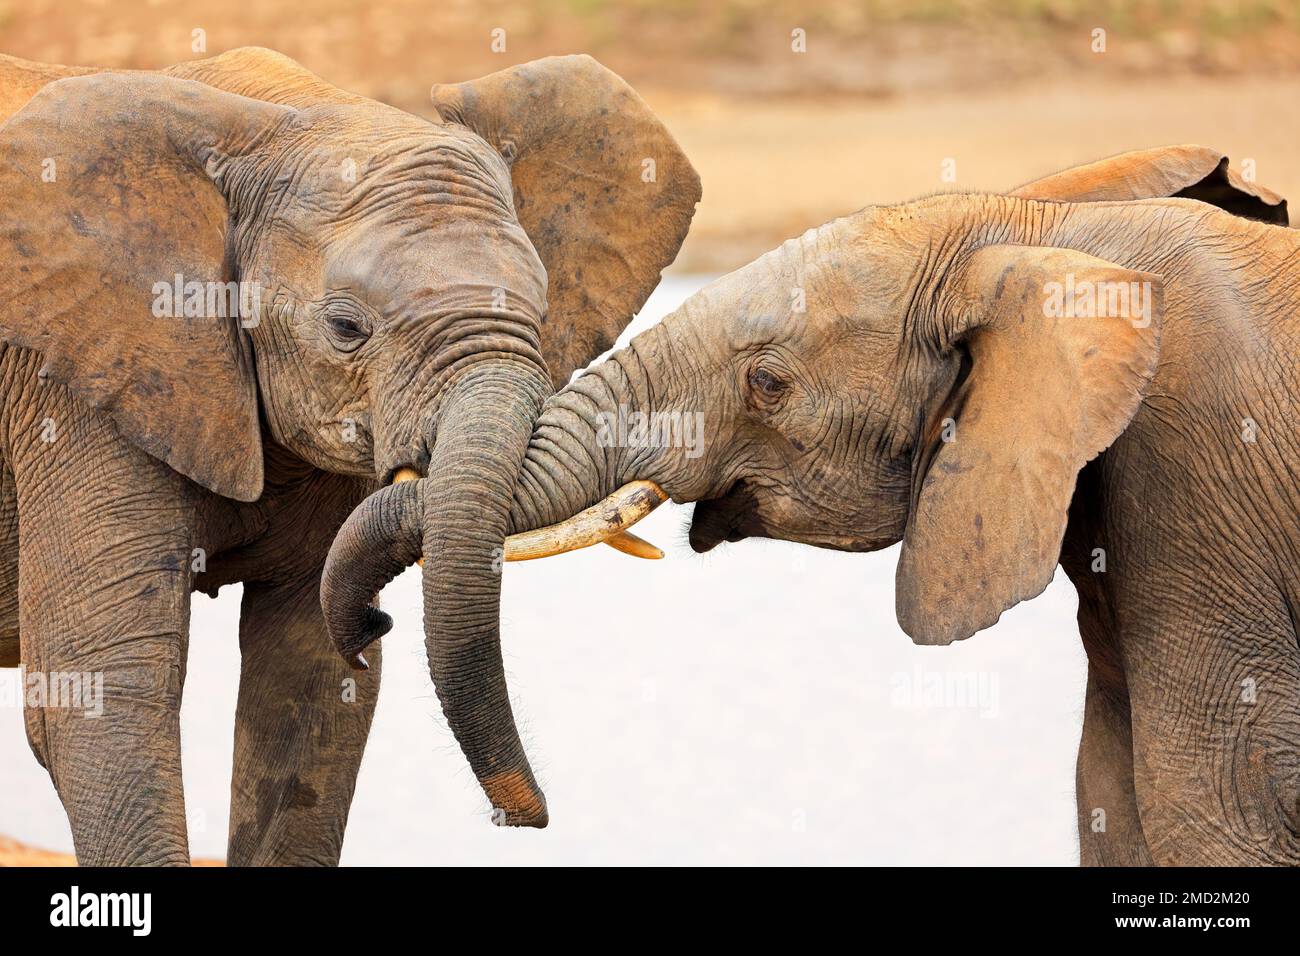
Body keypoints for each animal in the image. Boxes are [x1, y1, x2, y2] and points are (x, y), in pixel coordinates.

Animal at [0, 46, 699, 864]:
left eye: (544, 304)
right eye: (344, 328)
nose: (522, 819)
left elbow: (309, 686)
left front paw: (341, 654)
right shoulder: (79, 385)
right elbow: (104, 691)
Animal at [327, 145, 1300, 865]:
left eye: (767, 382)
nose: (523, 822)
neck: (1048, 235)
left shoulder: (1203, 466)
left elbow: (1214, 801)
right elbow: (1108, 791)